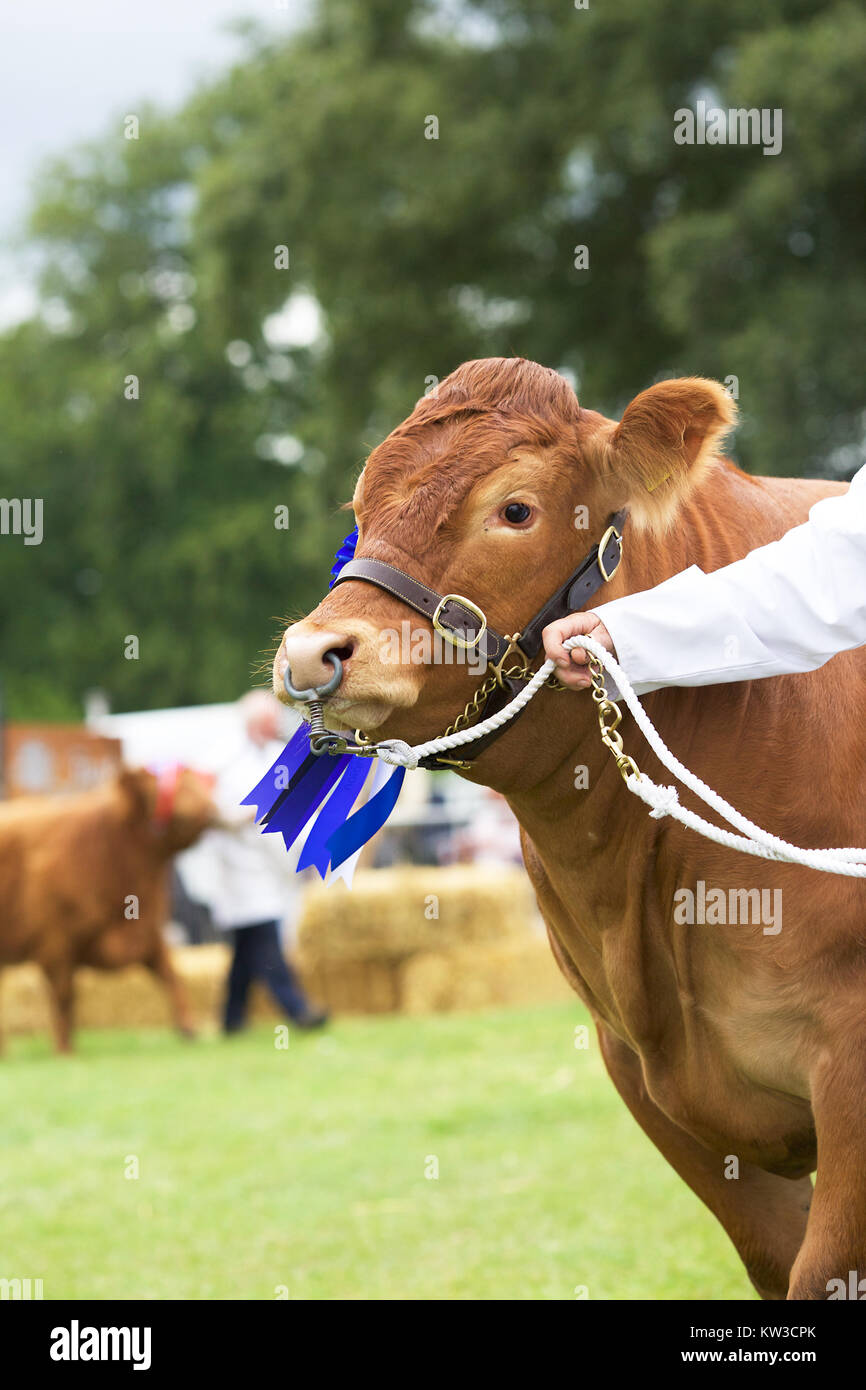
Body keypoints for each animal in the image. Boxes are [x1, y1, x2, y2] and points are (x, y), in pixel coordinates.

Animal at [0, 765, 216, 1052]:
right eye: (157, 792)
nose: (207, 808)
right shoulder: (55, 945)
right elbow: (64, 997)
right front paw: (65, 1051)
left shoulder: (149, 934)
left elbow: (170, 975)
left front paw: (189, 1030)